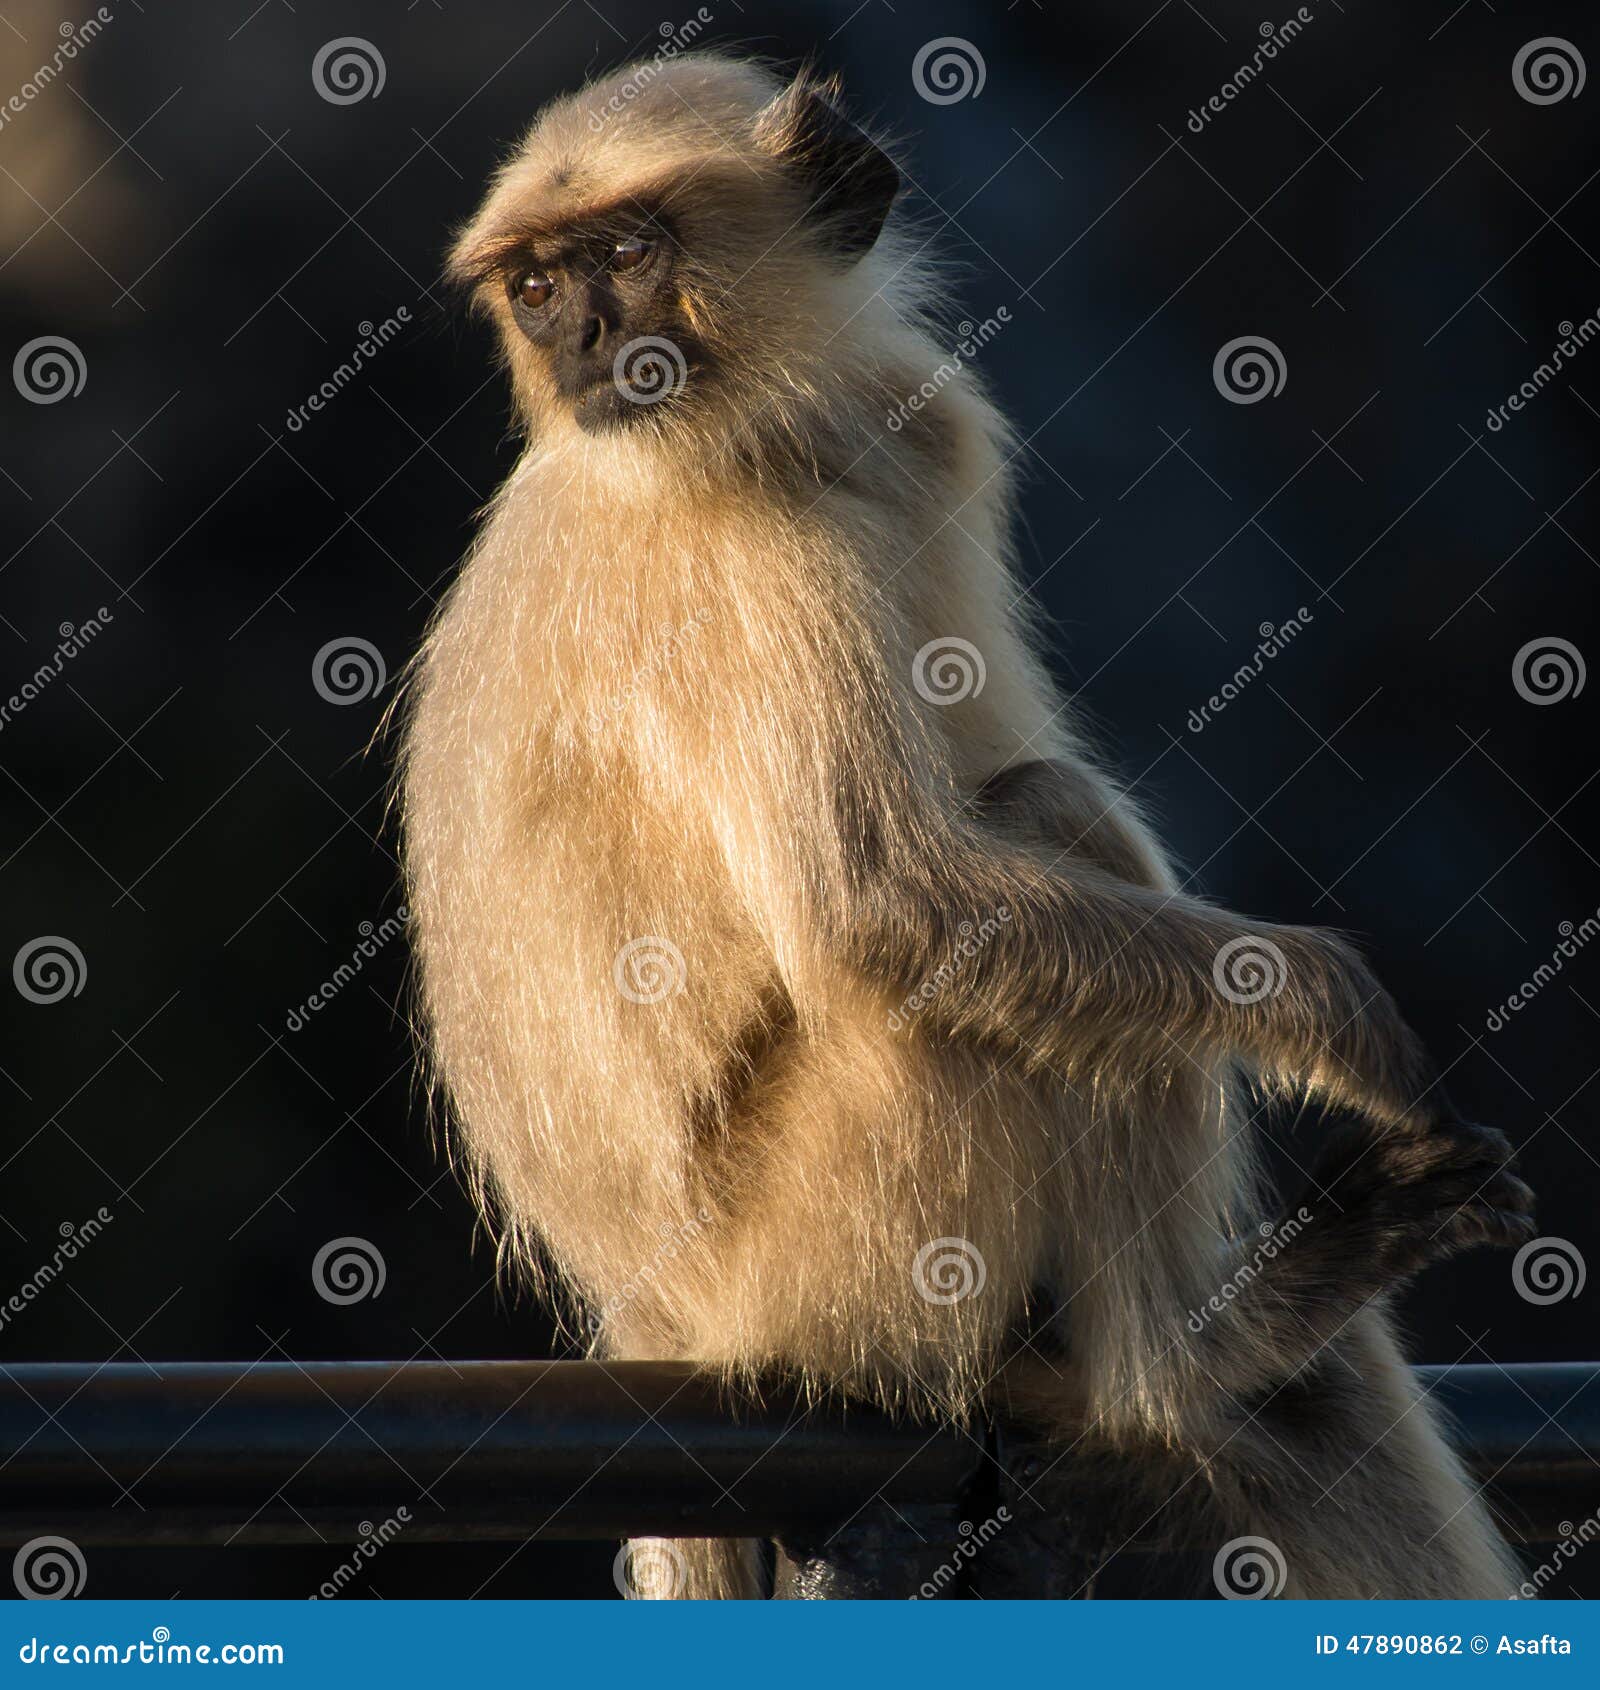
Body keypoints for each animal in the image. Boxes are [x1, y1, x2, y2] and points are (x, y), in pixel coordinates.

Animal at [396, 51, 1535, 1600]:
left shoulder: (926, 435)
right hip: (830, 1272)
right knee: (1023, 863)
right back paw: (1184, 1360)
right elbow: (887, 908)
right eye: (534, 285)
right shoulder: (744, 543)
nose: (578, 337)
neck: (781, 426)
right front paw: (1331, 1014)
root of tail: (656, 1319)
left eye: (624, 258)